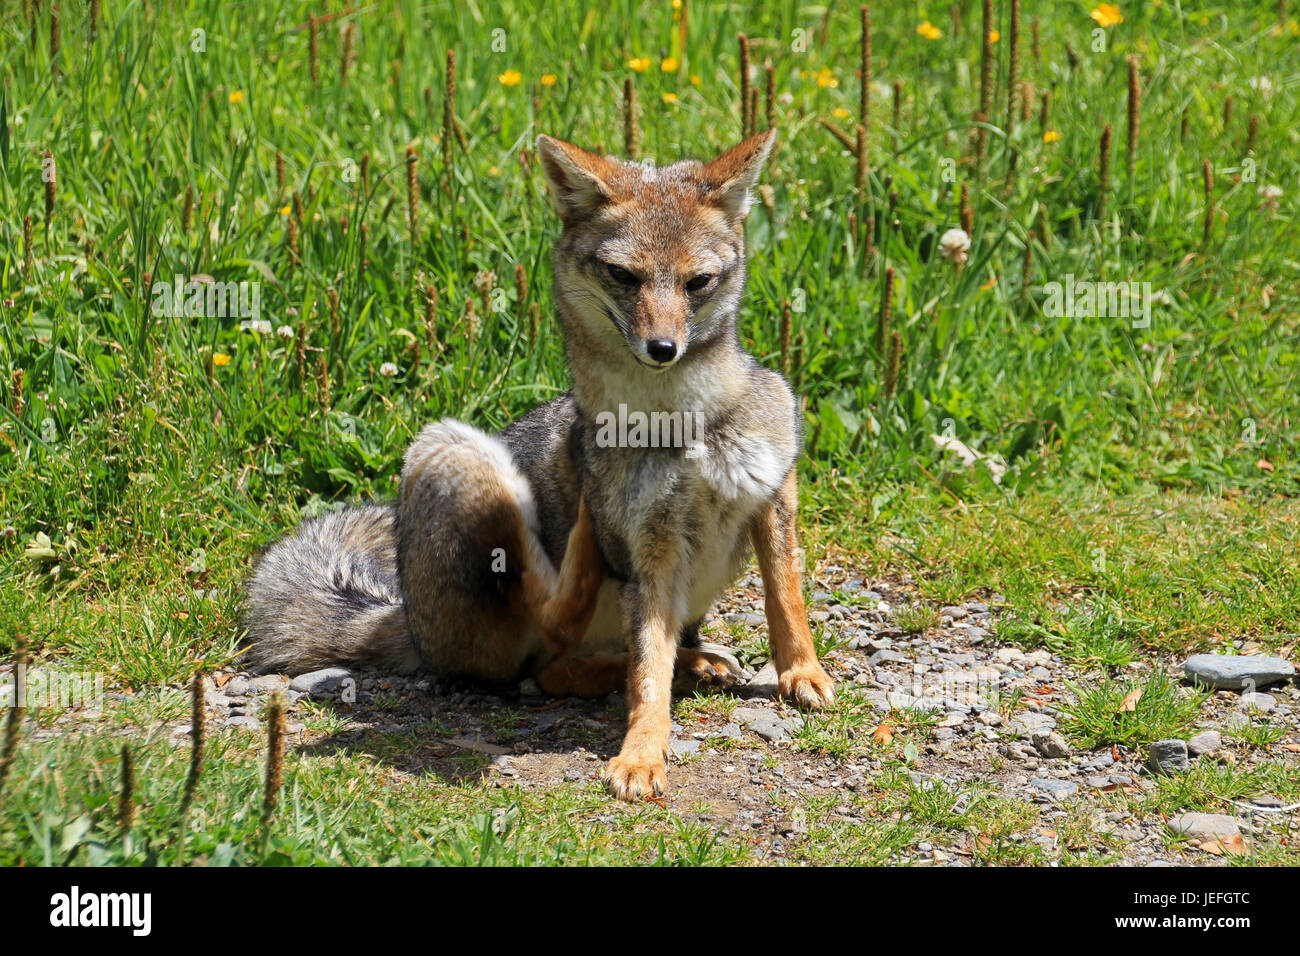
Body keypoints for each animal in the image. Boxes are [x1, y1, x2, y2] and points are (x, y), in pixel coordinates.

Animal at [242, 129, 836, 800]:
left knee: (570, 663)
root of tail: (411, 622)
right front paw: (641, 754)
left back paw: (694, 661)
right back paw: (599, 579)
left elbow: (784, 598)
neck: (687, 428)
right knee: (550, 649)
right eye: (623, 276)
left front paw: (802, 673)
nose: (662, 348)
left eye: (697, 282)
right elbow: (647, 677)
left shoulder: (775, 492)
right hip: (462, 453)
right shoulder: (648, 549)